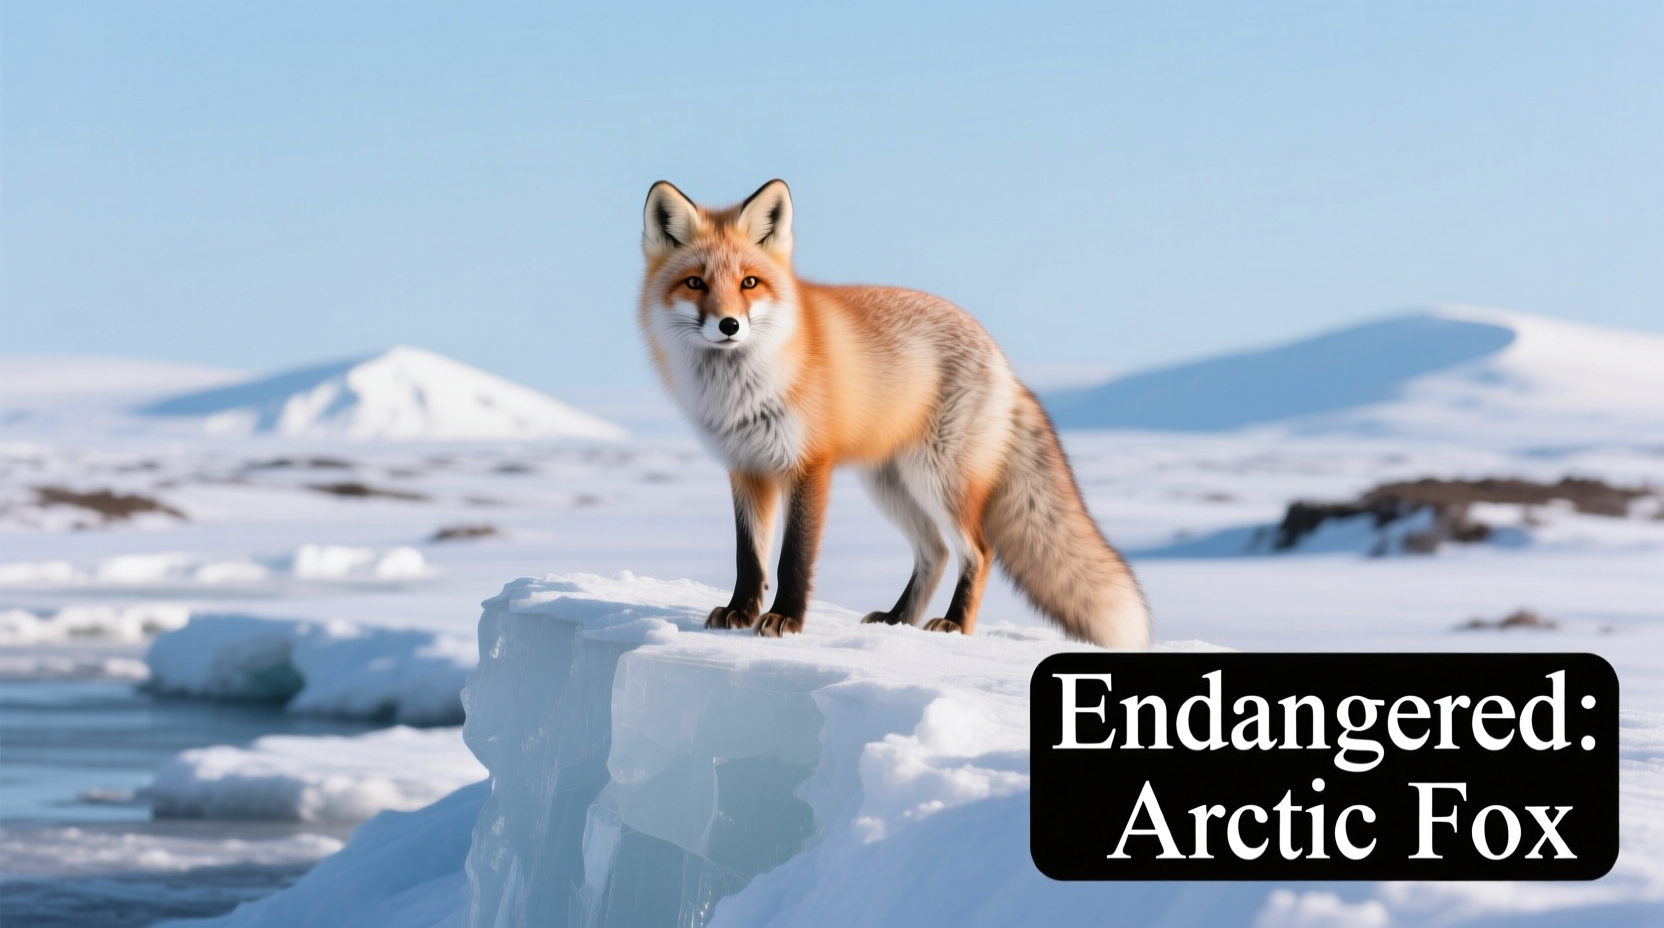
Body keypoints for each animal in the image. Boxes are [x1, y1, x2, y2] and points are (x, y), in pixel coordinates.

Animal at [638, 179, 1150, 649]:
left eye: (749, 282)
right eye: (695, 283)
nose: (729, 325)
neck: (743, 388)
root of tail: (1004, 363)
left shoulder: (809, 464)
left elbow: (793, 557)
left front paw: (786, 619)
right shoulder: (746, 468)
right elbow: (750, 558)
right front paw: (740, 611)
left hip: (937, 480)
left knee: (978, 551)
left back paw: (955, 624)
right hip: (892, 486)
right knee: (936, 553)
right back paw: (897, 619)